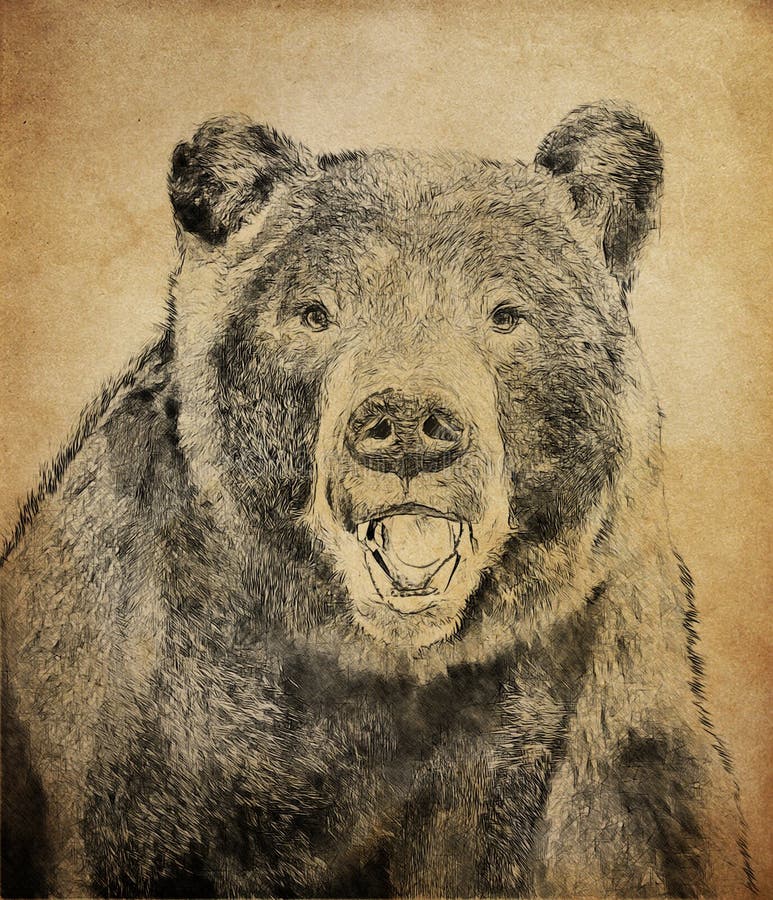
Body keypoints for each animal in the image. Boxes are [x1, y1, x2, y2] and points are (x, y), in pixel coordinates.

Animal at [1, 102, 756, 898]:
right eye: (313, 312)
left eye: (505, 312)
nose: (406, 425)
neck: (389, 671)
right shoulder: (139, 742)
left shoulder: (600, 727)